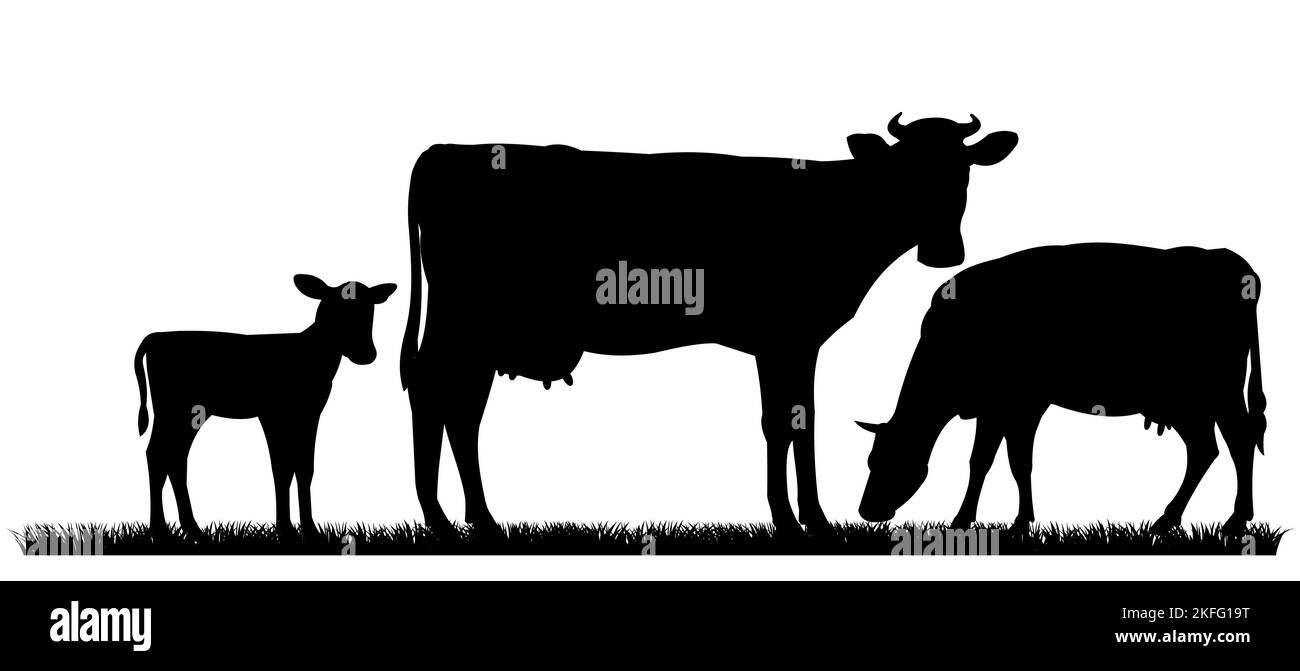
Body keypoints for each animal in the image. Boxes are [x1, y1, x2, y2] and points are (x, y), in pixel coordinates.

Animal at [134, 274, 397, 539]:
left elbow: (304, 467)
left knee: (175, 457)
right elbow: (282, 467)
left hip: (188, 414)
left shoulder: (309, 413)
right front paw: (286, 530)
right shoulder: (272, 413)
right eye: (334, 308)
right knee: (158, 454)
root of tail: (156, 337)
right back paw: (160, 530)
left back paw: (192, 530)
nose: (366, 354)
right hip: (172, 409)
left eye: (371, 310)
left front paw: (309, 530)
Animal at [402, 114, 1019, 532]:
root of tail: (442, 151)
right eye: (906, 171)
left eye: (963, 171)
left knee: (459, 408)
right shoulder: (788, 339)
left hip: (476, 334)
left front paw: (799, 519)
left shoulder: (787, 343)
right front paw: (802, 523)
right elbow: (789, 424)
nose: (944, 252)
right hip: (464, 321)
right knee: (437, 397)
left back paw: (472, 519)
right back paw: (445, 519)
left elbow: (788, 422)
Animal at [855, 244, 1266, 535]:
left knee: (1240, 442)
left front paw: (984, 521)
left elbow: (1004, 460)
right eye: (870, 461)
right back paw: (1169, 520)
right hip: (1189, 404)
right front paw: (1002, 519)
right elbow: (996, 460)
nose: (866, 510)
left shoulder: (1016, 402)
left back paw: (1234, 520)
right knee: (1205, 450)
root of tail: (1231, 261)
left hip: (1219, 392)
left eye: (891, 459)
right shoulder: (1002, 406)